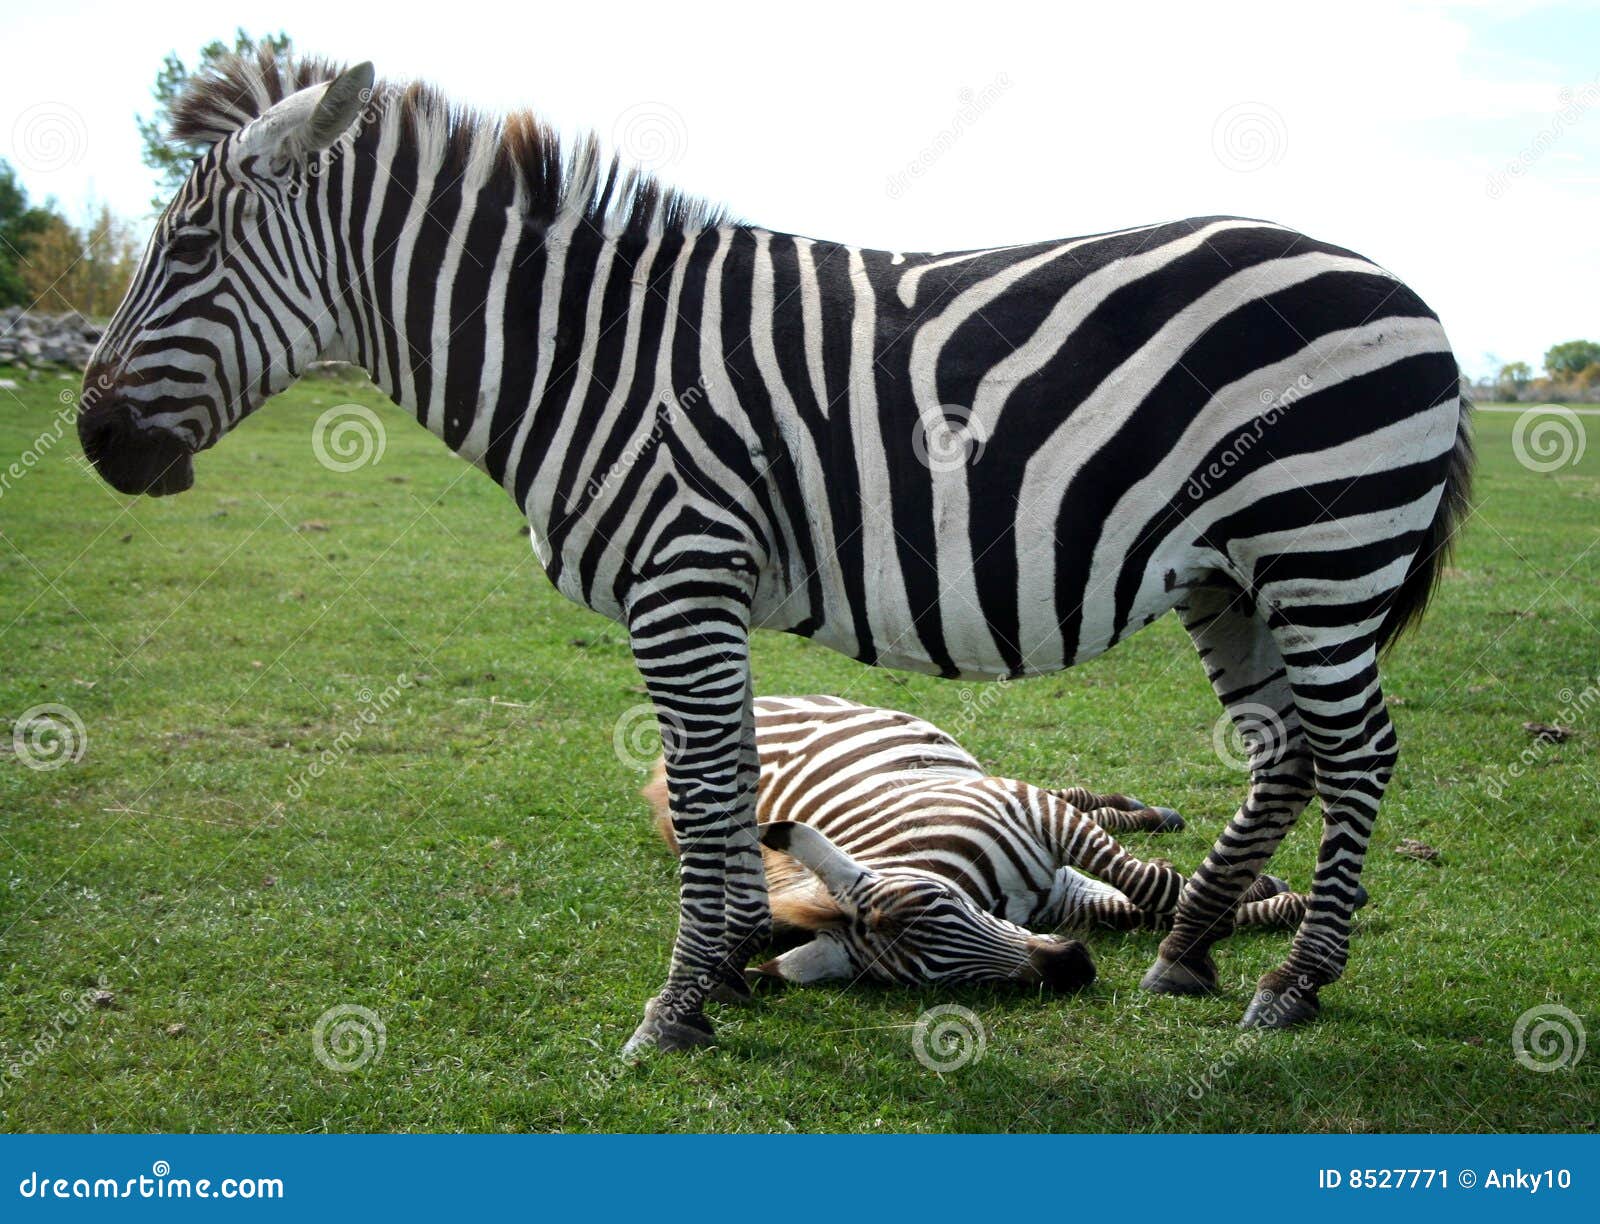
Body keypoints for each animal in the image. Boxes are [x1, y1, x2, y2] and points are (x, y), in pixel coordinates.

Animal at [644, 695, 1312, 990]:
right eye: (939, 981)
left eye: (946, 903)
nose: (1073, 966)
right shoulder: (1063, 896)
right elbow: (1137, 908)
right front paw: (1263, 902)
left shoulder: (1040, 816)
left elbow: (1153, 885)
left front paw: (1270, 900)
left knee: (1074, 795)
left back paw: (1155, 816)